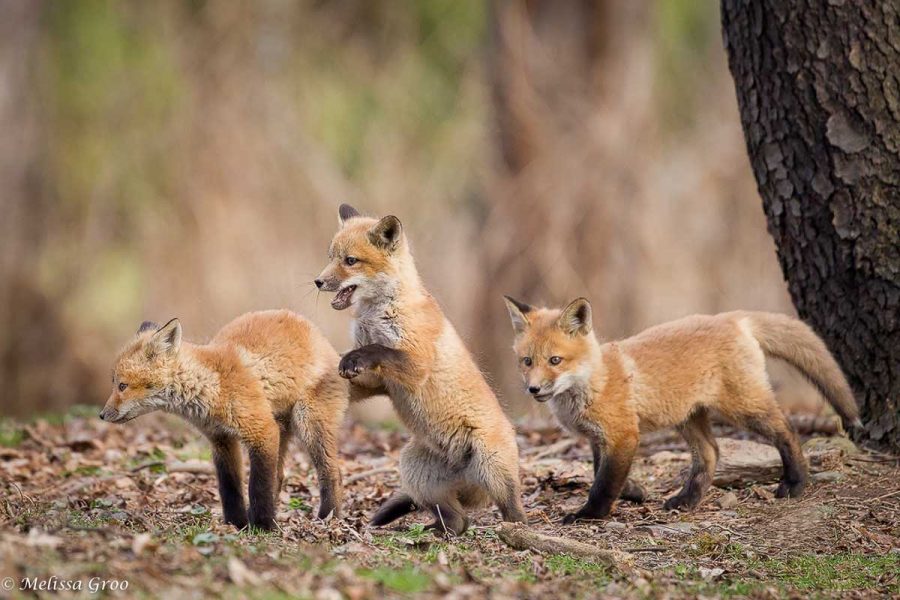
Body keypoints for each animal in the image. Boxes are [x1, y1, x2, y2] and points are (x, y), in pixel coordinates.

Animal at [100, 310, 348, 530]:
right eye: (114, 383)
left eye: (122, 386)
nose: (102, 415)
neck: (212, 385)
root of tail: (322, 338)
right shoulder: (221, 438)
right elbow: (230, 487)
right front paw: (236, 524)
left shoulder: (261, 430)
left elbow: (257, 486)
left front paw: (263, 526)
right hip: (282, 430)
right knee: (279, 476)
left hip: (308, 423)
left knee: (332, 473)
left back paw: (327, 517)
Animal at [313, 204, 527, 534]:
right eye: (330, 257)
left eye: (350, 261)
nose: (318, 282)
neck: (379, 313)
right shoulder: (379, 381)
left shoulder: (416, 365)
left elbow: (377, 350)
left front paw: (349, 358)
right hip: (415, 470)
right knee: (458, 520)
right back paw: (435, 532)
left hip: (491, 465)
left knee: (512, 508)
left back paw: (516, 529)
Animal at [504, 296, 860, 523]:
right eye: (527, 361)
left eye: (555, 361)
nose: (533, 389)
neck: (593, 381)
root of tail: (730, 317)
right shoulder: (599, 438)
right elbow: (600, 471)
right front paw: (634, 492)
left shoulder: (623, 434)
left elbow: (603, 483)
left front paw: (589, 514)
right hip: (688, 417)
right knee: (711, 453)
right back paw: (687, 500)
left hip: (742, 408)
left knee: (787, 430)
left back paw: (795, 482)